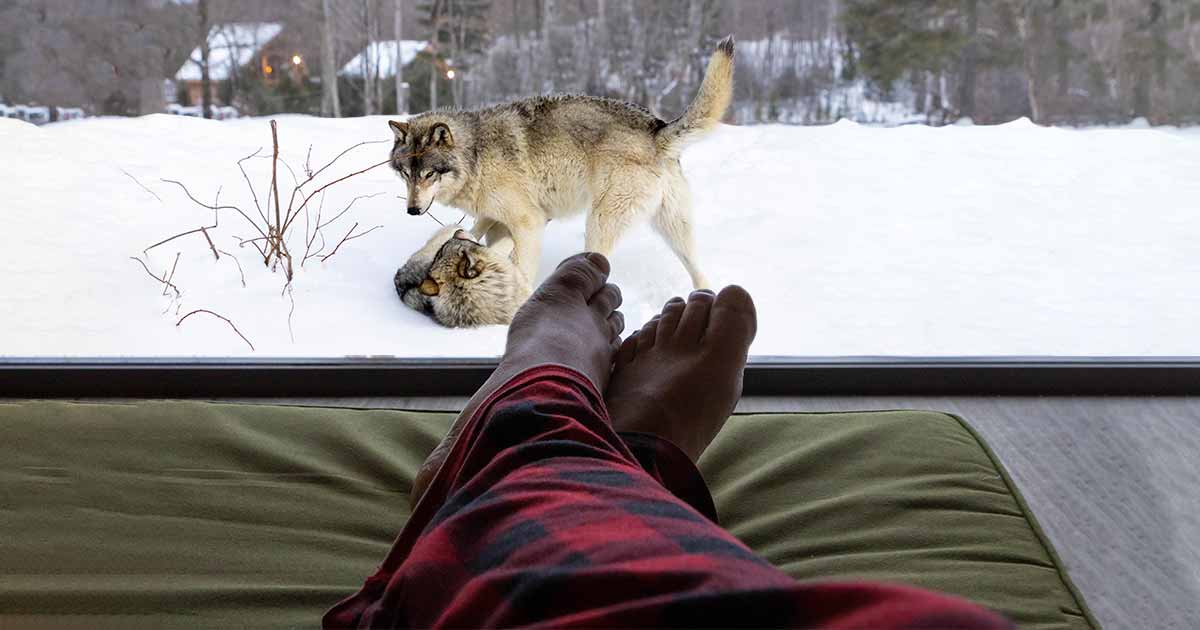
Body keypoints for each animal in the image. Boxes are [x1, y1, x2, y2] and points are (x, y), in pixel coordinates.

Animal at [387, 36, 735, 293]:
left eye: (428, 174)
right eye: (405, 175)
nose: (412, 210)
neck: (476, 156)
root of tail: (657, 128)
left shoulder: (529, 222)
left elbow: (520, 266)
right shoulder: (498, 217)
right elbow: (476, 232)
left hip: (599, 223)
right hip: (675, 229)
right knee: (698, 270)